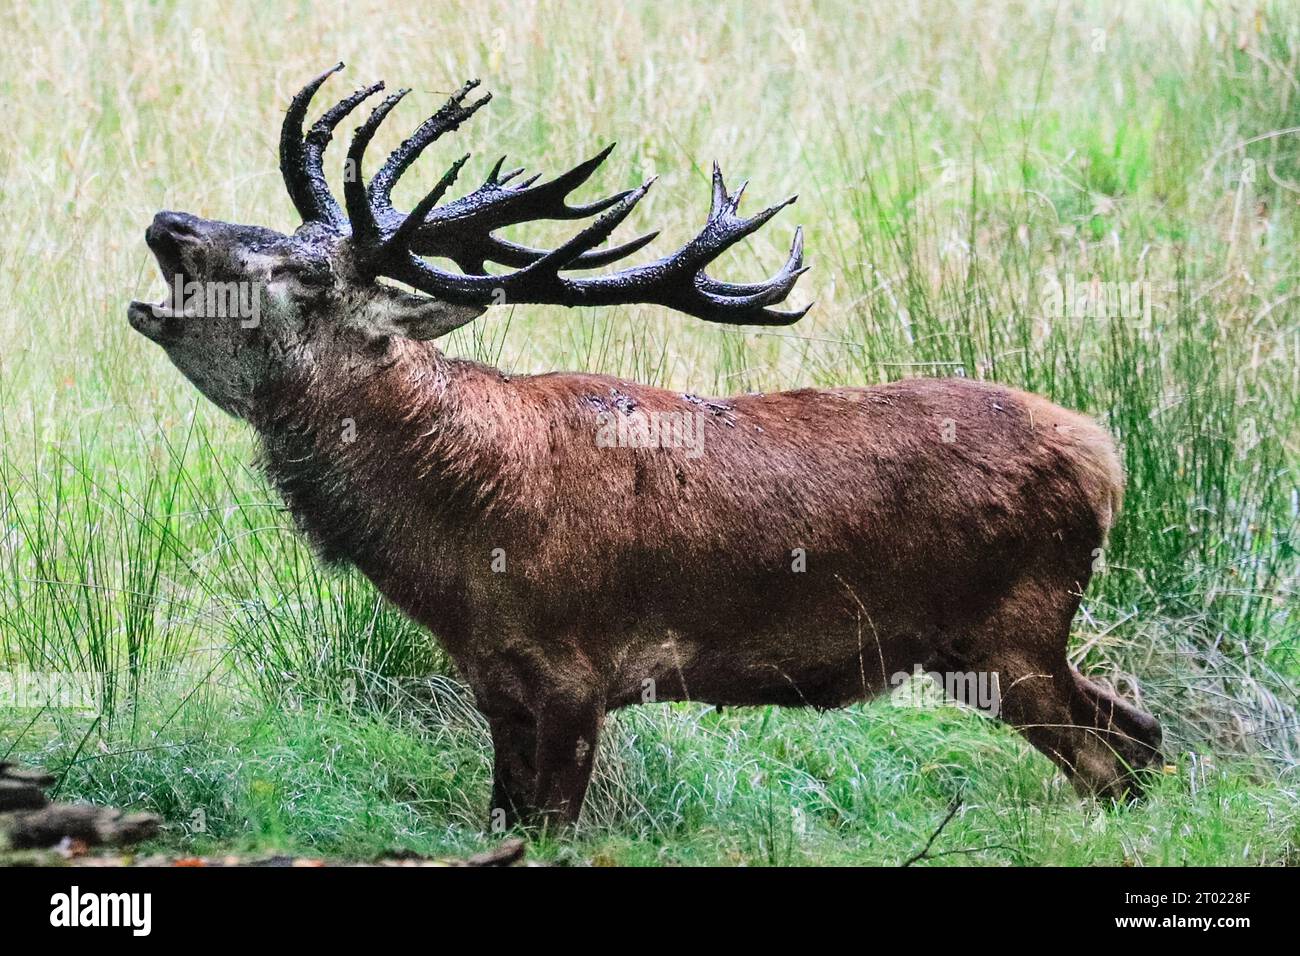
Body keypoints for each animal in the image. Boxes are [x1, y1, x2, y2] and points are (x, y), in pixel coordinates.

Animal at [127, 65, 1162, 828]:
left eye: (303, 274)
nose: (168, 221)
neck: (455, 548)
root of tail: (1106, 456)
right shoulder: (495, 683)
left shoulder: (576, 671)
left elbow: (551, 829)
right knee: (1141, 733)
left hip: (1015, 625)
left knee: (1112, 759)